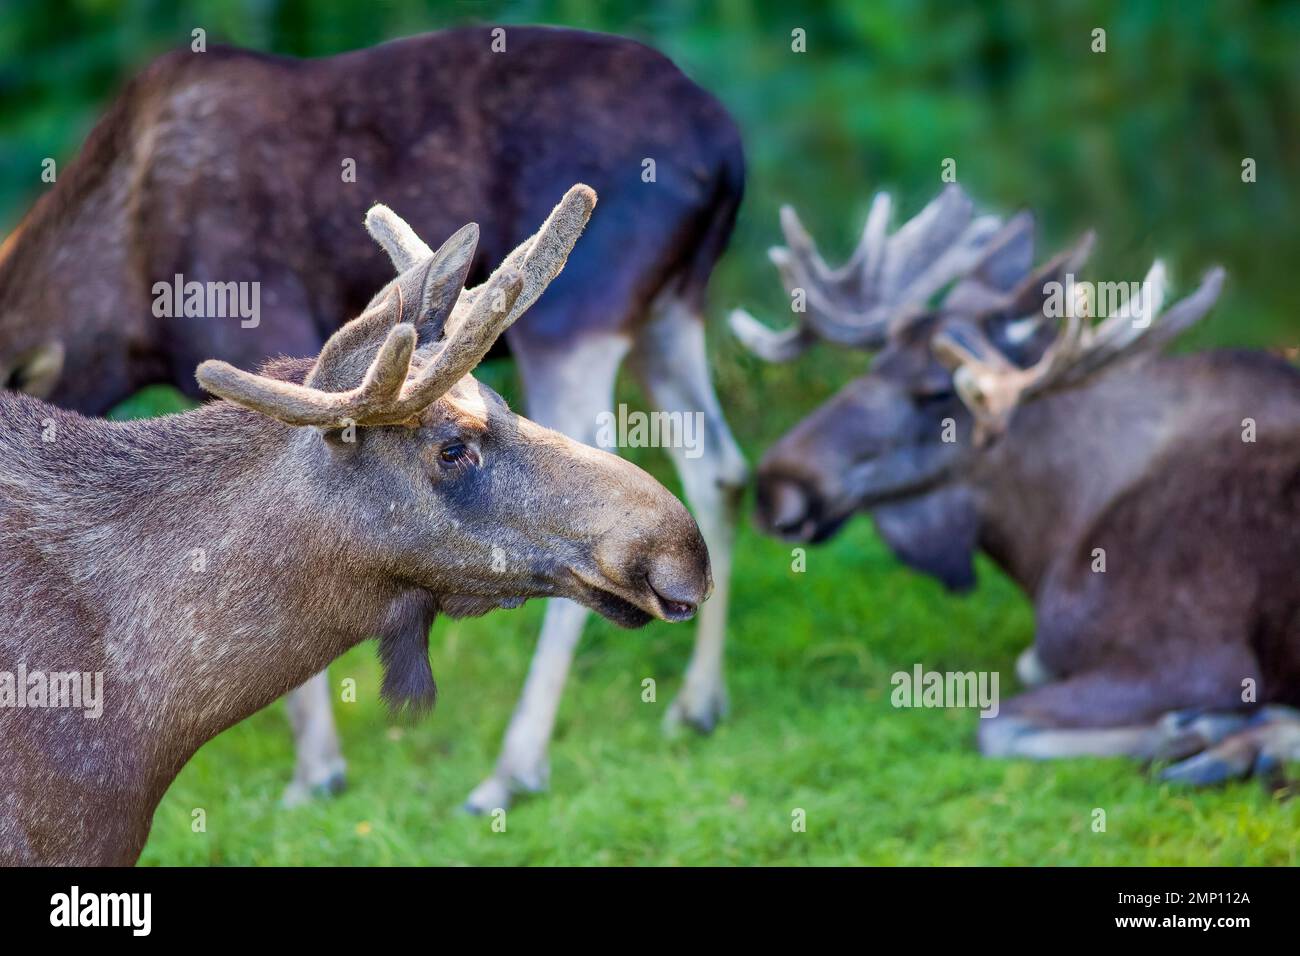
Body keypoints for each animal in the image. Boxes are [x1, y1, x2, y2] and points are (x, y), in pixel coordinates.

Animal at [0, 26, 748, 812]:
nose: (675, 552)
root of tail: (727, 148)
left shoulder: (254, 320)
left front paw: (317, 769)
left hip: (581, 316)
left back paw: (512, 767)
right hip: (671, 309)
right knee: (720, 471)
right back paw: (697, 702)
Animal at [731, 185, 1300, 784]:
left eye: (939, 390)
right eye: (875, 363)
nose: (775, 484)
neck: (1046, 537)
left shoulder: (1201, 661)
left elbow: (997, 727)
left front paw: (1198, 730)